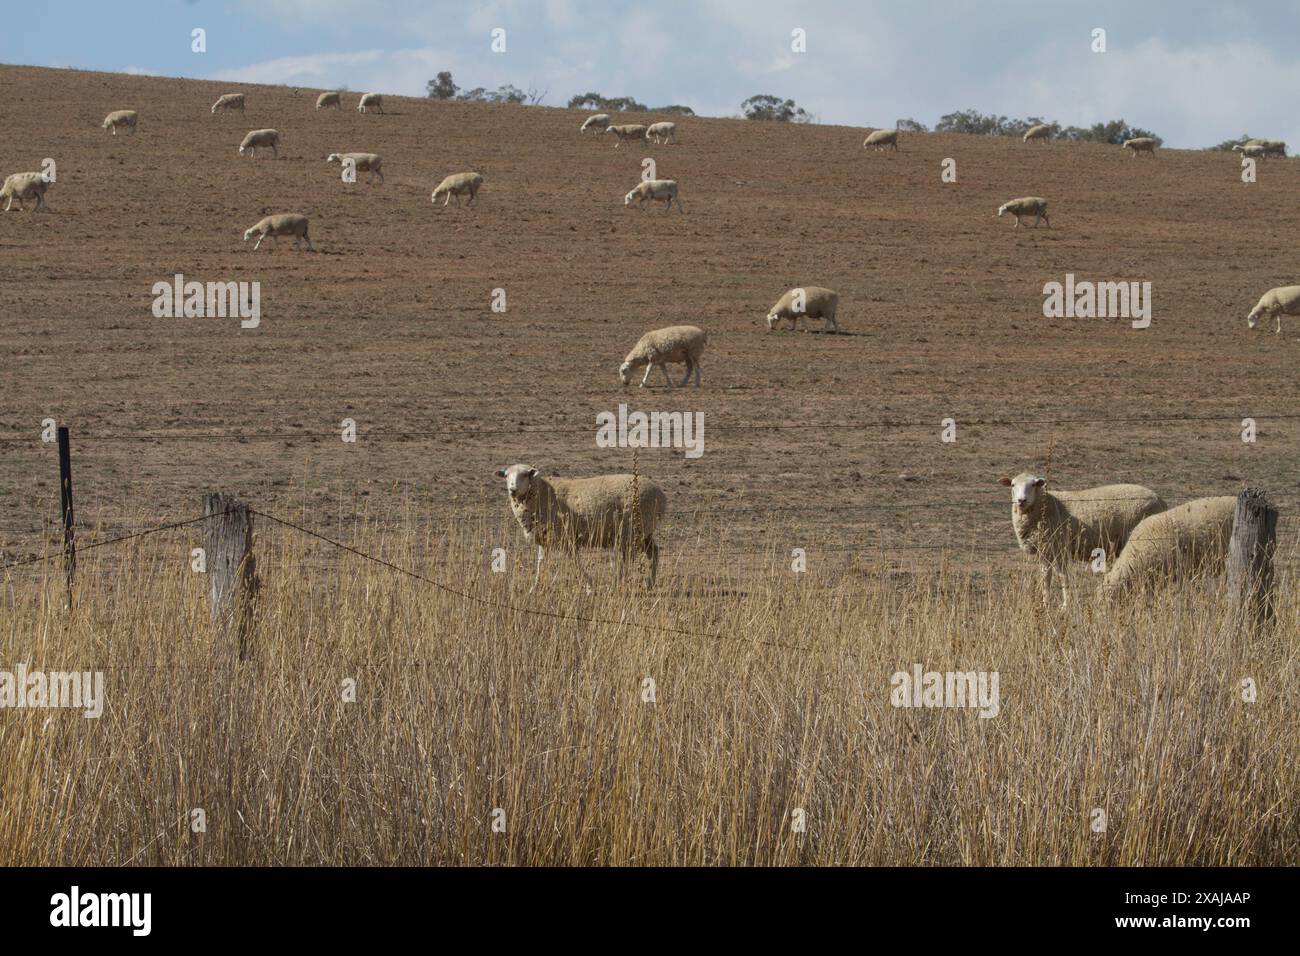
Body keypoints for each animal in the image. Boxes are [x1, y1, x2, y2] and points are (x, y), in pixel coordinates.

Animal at [494, 464, 668, 590]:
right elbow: (540, 563)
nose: (512, 490)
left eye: (525, 475)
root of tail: (661, 494)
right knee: (654, 551)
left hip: (631, 531)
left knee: (627, 560)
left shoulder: (566, 538)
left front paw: (589, 585)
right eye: (506, 475)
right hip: (644, 532)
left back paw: (616, 585)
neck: (541, 492)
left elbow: (575, 561)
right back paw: (650, 583)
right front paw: (534, 587)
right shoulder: (545, 538)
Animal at [998, 472, 1167, 608]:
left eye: (1033, 485)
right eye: (1013, 485)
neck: (1046, 506)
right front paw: (1045, 604)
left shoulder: (1060, 549)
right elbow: (1045, 578)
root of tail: (1160, 499)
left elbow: (1063, 577)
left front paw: (1066, 605)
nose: (1021, 500)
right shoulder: (1044, 551)